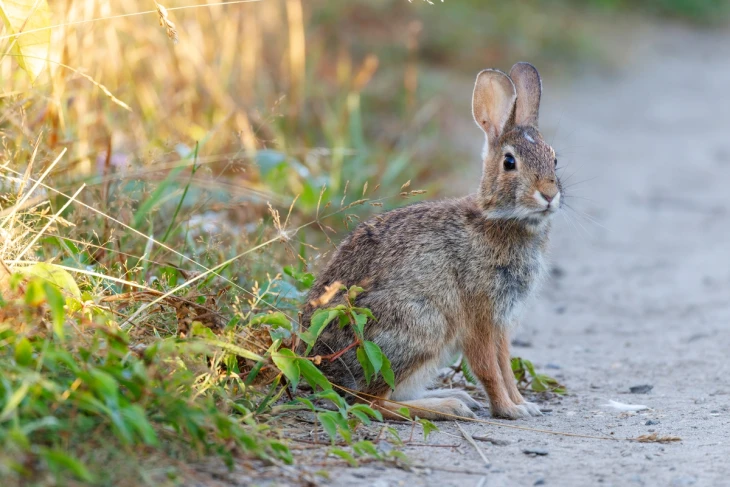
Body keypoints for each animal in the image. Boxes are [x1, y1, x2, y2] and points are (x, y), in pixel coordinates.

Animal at [300, 62, 561, 420]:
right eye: (510, 162)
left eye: (554, 159)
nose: (549, 194)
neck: (500, 220)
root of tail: (321, 369)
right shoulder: (479, 317)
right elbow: (489, 369)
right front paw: (509, 410)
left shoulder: (502, 322)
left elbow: (505, 367)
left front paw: (524, 405)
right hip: (419, 328)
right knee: (372, 402)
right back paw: (448, 406)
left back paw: (453, 396)